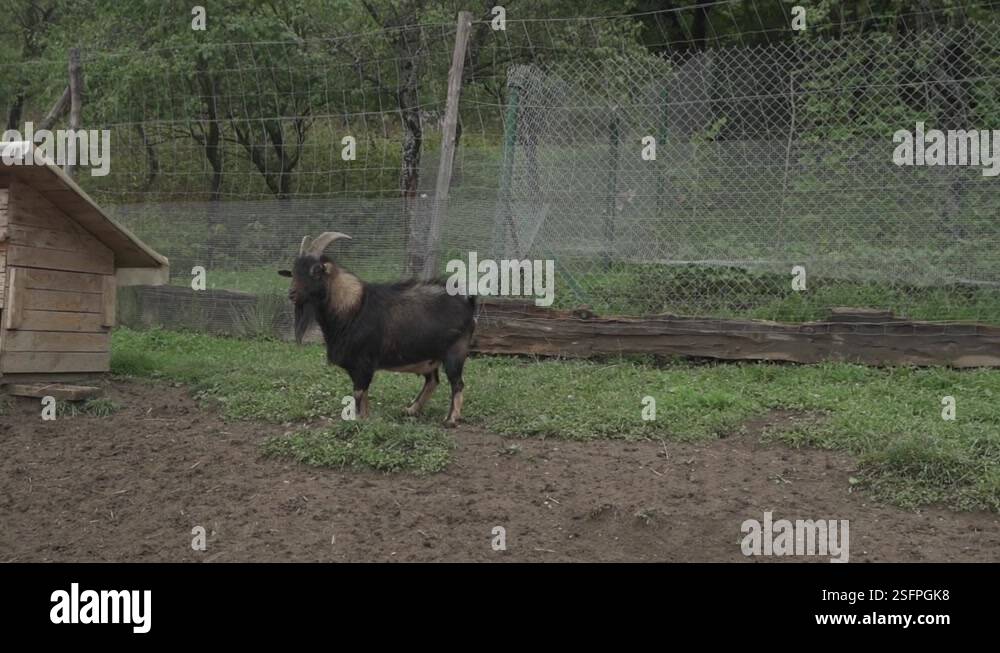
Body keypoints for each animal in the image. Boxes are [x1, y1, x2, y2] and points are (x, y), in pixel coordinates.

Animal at [278, 232, 476, 427]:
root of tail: (467, 301)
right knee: (433, 381)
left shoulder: (363, 362)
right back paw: (411, 410)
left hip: (455, 352)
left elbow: (359, 393)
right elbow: (362, 395)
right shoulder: (356, 367)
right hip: (430, 356)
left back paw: (451, 419)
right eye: (294, 272)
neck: (353, 307)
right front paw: (365, 418)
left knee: (457, 383)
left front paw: (359, 420)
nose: (292, 294)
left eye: (316, 271)